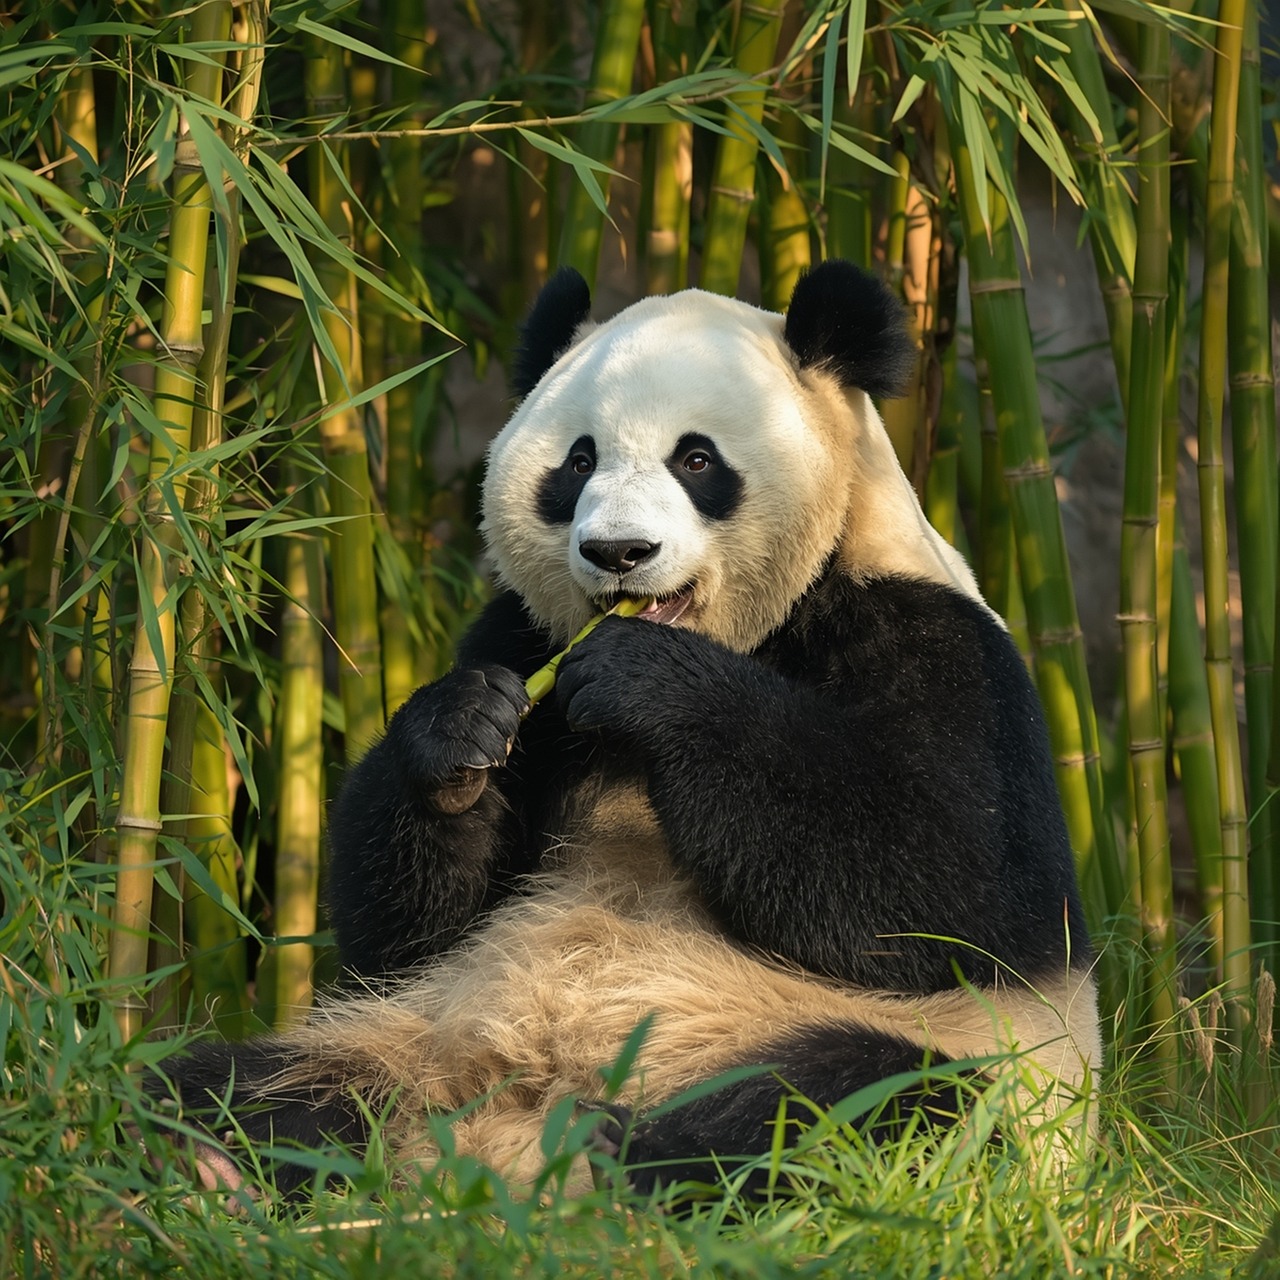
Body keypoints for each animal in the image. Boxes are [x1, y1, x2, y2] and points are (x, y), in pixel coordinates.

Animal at [165, 259, 1101, 1198]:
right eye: (578, 461)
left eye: (696, 459)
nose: (618, 551)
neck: (750, 633)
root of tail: (494, 1138)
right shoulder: (517, 637)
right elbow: (403, 938)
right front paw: (459, 731)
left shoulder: (936, 642)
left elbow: (954, 883)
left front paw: (644, 679)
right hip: (403, 1040)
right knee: (225, 1087)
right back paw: (215, 1165)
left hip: (894, 1055)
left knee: (874, 1109)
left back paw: (647, 1153)